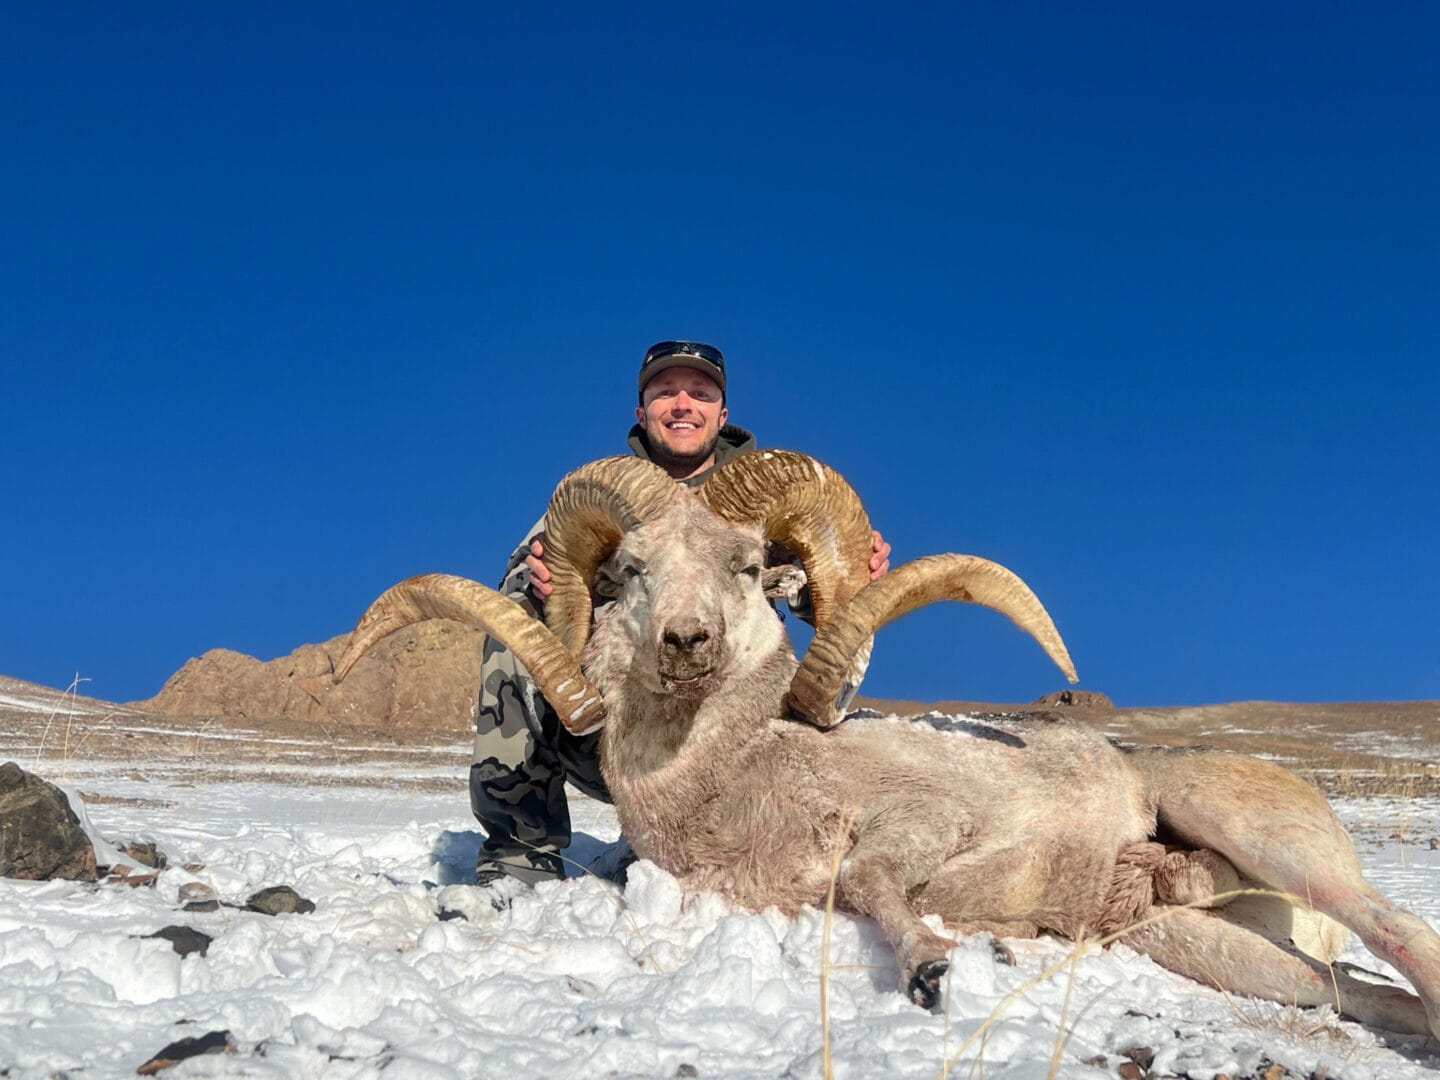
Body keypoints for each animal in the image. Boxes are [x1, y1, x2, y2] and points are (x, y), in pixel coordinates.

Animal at [335, 451, 1440, 1039]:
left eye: (748, 567)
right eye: (632, 571)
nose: (686, 643)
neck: (734, 783)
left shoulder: (925, 826)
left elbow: (867, 880)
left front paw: (936, 972)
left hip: (1256, 834)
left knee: (1397, 931)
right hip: (1201, 946)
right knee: (1345, 990)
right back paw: (1170, 875)